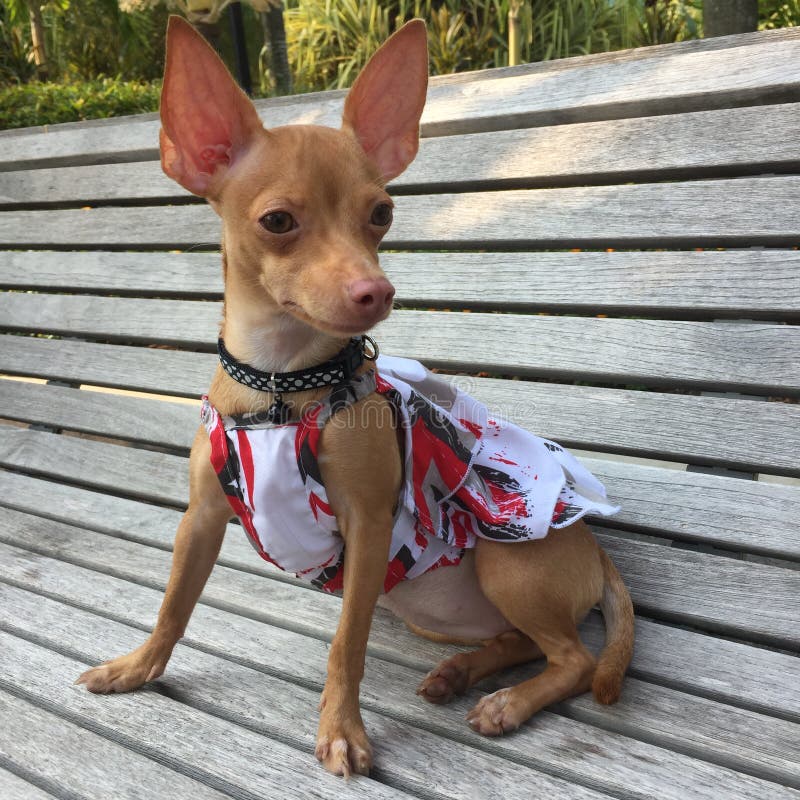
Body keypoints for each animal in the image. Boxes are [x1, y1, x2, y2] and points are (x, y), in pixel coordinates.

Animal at [76, 16, 635, 778]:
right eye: (278, 221)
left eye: (382, 213)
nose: (378, 291)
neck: (282, 387)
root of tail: (597, 551)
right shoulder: (201, 520)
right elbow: (173, 607)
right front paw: (137, 668)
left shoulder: (369, 531)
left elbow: (347, 645)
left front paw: (342, 730)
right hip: (443, 610)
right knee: (525, 643)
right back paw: (465, 671)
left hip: (506, 562)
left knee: (575, 658)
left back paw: (507, 703)